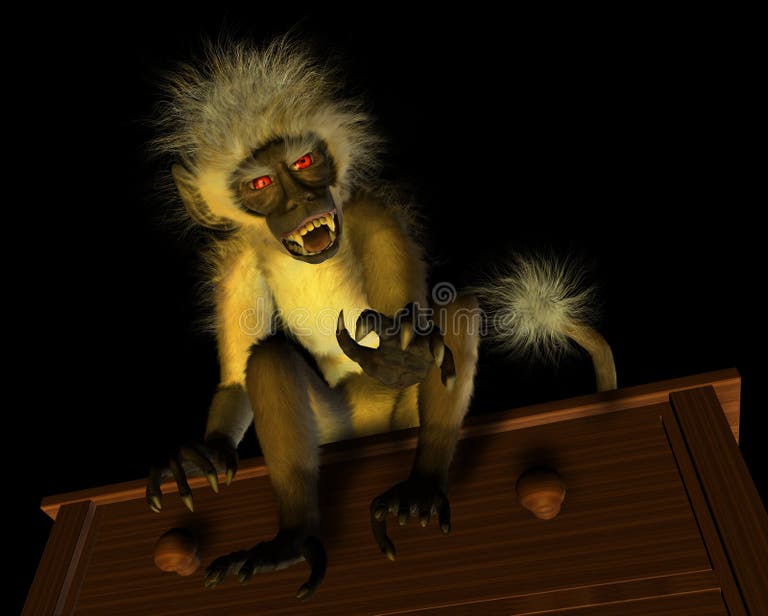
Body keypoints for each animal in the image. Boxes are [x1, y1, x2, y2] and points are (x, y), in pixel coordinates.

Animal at [145, 37, 616, 601]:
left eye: (304, 161)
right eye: (260, 183)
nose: (302, 200)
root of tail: (371, 419)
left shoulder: (370, 212)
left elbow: (419, 323)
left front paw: (401, 352)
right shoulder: (238, 259)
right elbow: (237, 378)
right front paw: (208, 452)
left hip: (402, 412)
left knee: (454, 311)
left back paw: (424, 479)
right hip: (338, 426)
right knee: (271, 359)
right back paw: (294, 536)